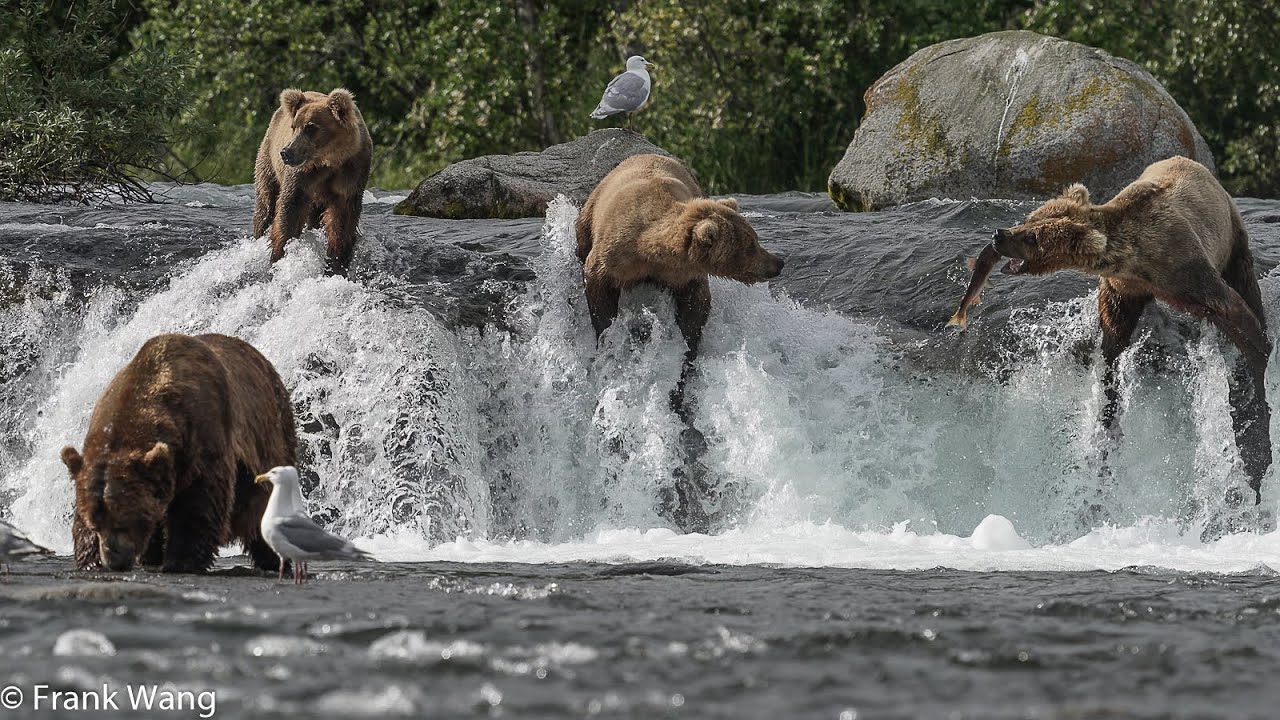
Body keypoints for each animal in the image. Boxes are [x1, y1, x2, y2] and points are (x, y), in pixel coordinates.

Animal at [60, 333, 298, 574]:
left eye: (124, 522)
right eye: (95, 524)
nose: (113, 559)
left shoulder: (204, 439)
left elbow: (198, 504)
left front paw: (182, 561)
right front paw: (91, 560)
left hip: (276, 434)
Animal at [253, 87, 372, 276]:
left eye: (310, 127)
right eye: (294, 126)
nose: (286, 152)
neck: (330, 160)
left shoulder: (352, 172)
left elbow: (343, 220)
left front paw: (337, 261)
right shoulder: (303, 175)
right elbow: (290, 209)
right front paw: (280, 254)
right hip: (268, 160)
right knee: (266, 203)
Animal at [992, 155, 1271, 504]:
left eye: (1034, 237)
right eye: (1029, 218)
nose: (999, 234)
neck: (1136, 259)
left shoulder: (1184, 268)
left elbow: (1237, 316)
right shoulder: (1124, 288)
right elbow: (1113, 341)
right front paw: (1107, 406)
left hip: (1231, 233)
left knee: (1245, 281)